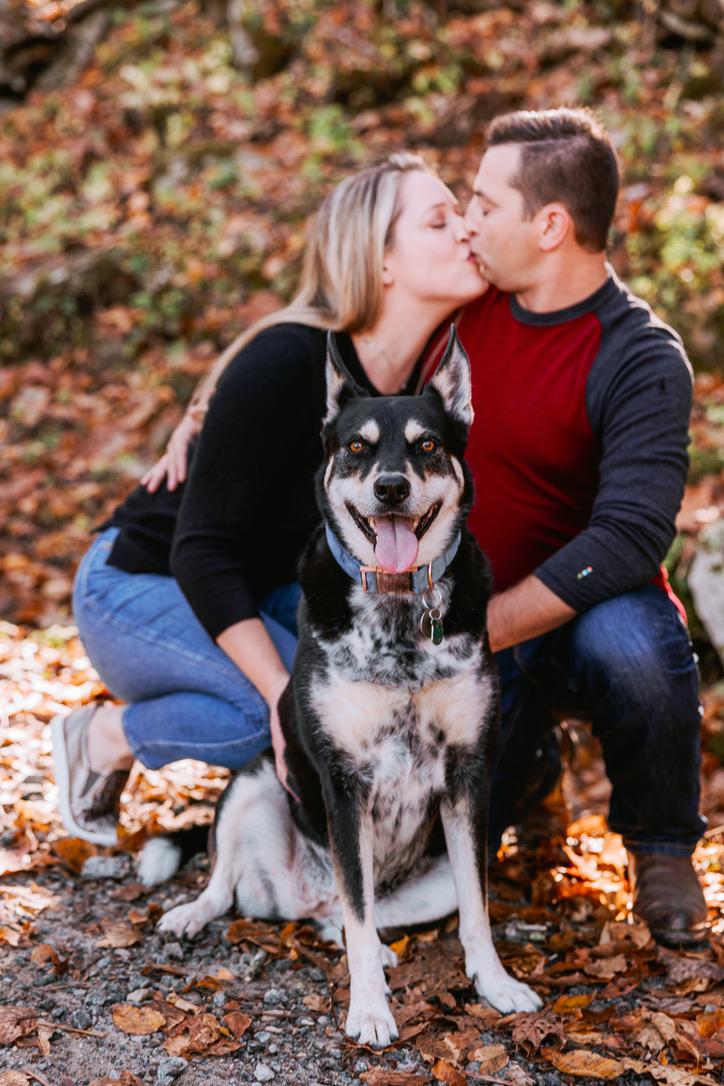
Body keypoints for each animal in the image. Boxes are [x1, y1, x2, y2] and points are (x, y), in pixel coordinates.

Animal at [139, 327, 541, 1046]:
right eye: (356, 447)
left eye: (427, 445)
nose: (391, 487)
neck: (400, 609)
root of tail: (303, 895)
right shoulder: (343, 779)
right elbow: (357, 909)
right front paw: (371, 1011)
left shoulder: (469, 774)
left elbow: (477, 910)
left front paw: (495, 985)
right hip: (255, 777)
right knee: (241, 882)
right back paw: (193, 913)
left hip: (427, 873)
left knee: (347, 916)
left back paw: (370, 942)